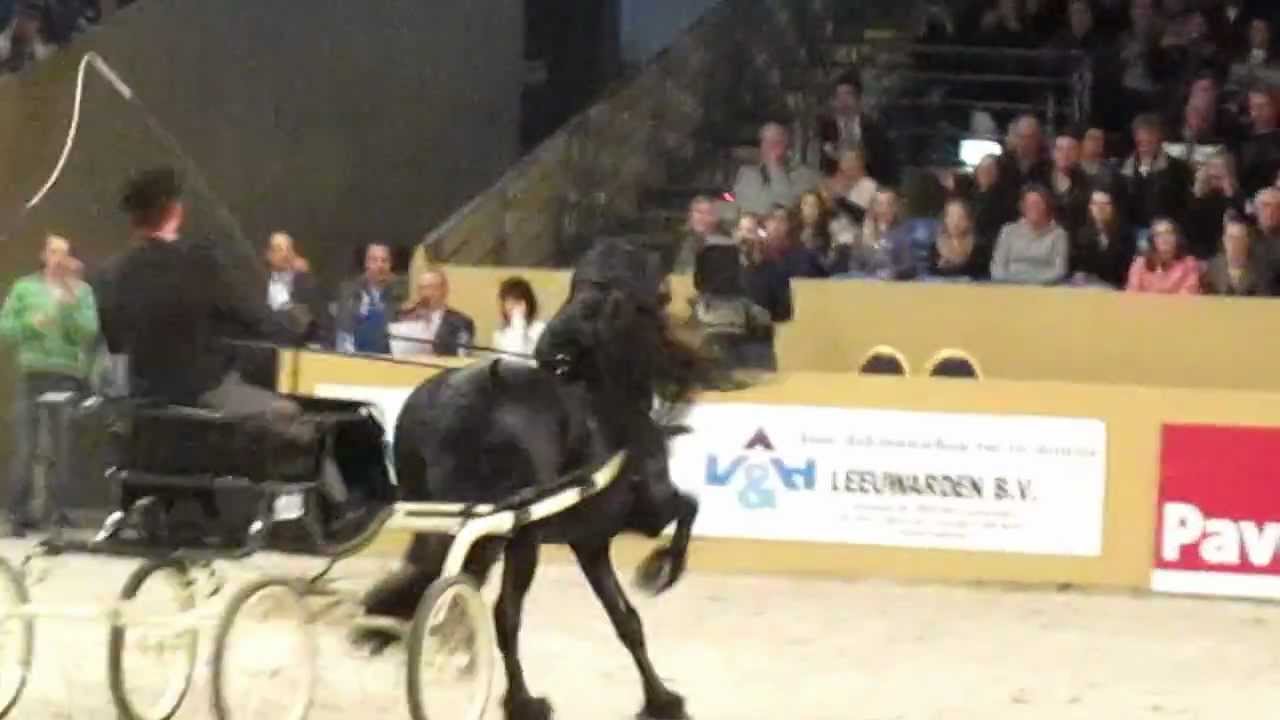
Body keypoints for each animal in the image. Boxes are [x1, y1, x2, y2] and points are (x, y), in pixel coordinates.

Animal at [357, 238, 713, 720]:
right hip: (511, 536)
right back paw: (520, 699)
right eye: (658, 293)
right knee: (499, 613)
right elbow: (688, 507)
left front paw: (659, 699)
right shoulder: (646, 512)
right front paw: (662, 570)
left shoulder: (590, 542)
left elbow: (625, 620)